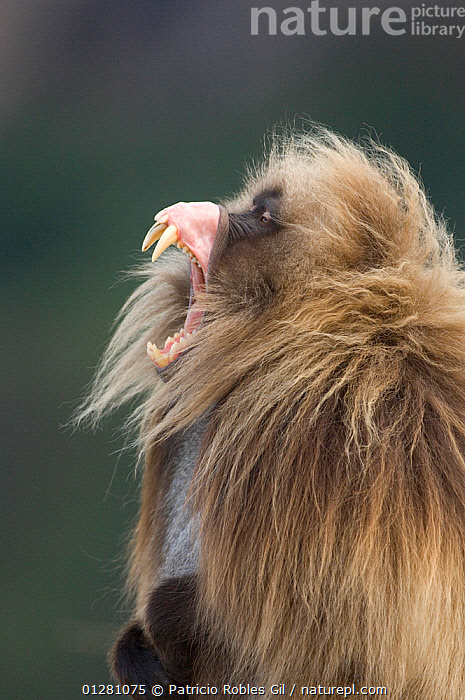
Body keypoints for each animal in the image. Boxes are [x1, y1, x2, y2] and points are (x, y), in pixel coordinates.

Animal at [79, 128, 465, 699]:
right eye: (254, 205)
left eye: (263, 218)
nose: (188, 210)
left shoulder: (347, 436)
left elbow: (349, 626)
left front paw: (170, 622)